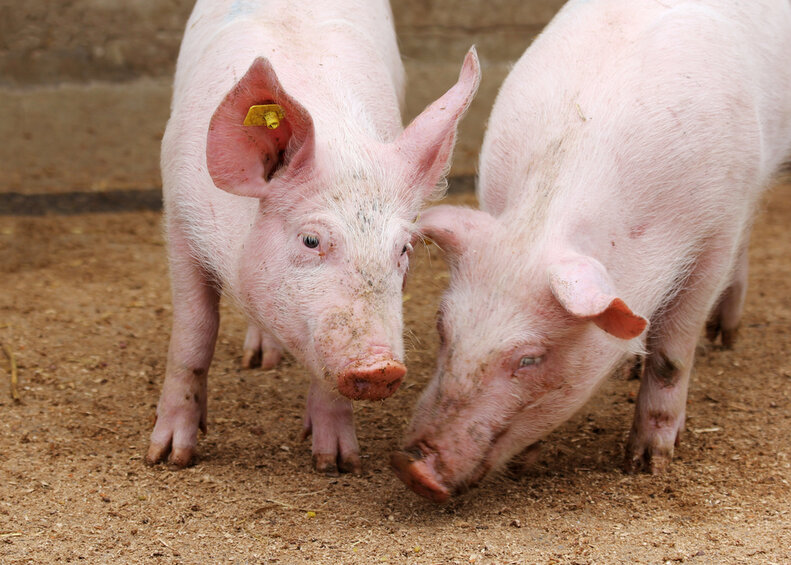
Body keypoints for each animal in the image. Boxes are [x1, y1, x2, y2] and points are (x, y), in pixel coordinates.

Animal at [145, 0, 481, 475]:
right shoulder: (178, 217)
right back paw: (258, 362)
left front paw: (337, 463)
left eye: (403, 248)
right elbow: (195, 330)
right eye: (310, 241)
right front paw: (169, 457)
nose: (381, 368)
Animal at [391, 0, 791, 501]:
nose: (412, 468)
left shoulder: (715, 233)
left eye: (530, 358)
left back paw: (725, 336)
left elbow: (672, 355)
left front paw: (647, 464)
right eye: (442, 327)